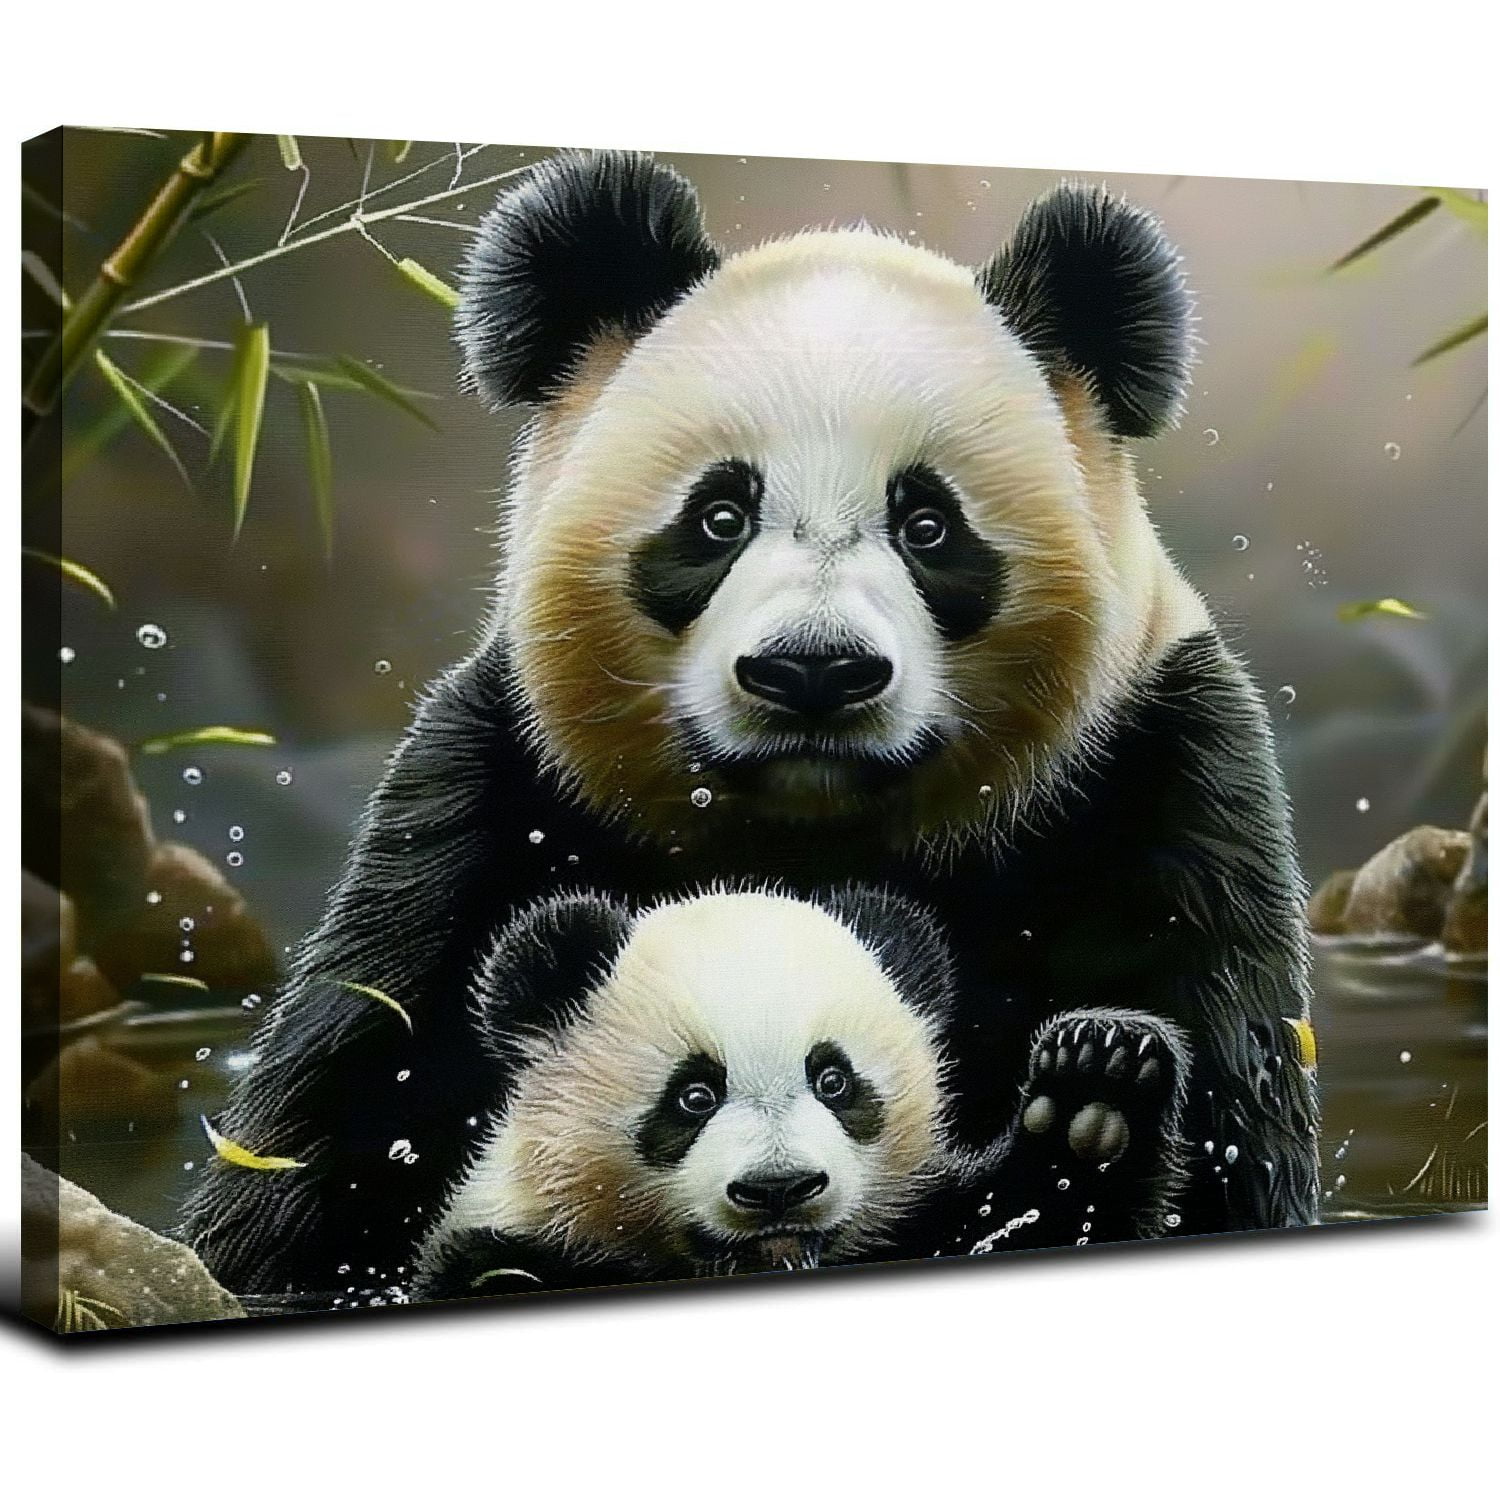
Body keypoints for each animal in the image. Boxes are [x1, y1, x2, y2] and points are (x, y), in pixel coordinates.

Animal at [410, 888, 1193, 1303]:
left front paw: (1097, 1090)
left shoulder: (917, 1222)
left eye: (833, 1081)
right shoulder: (513, 1246)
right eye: (694, 1097)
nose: (779, 1188)